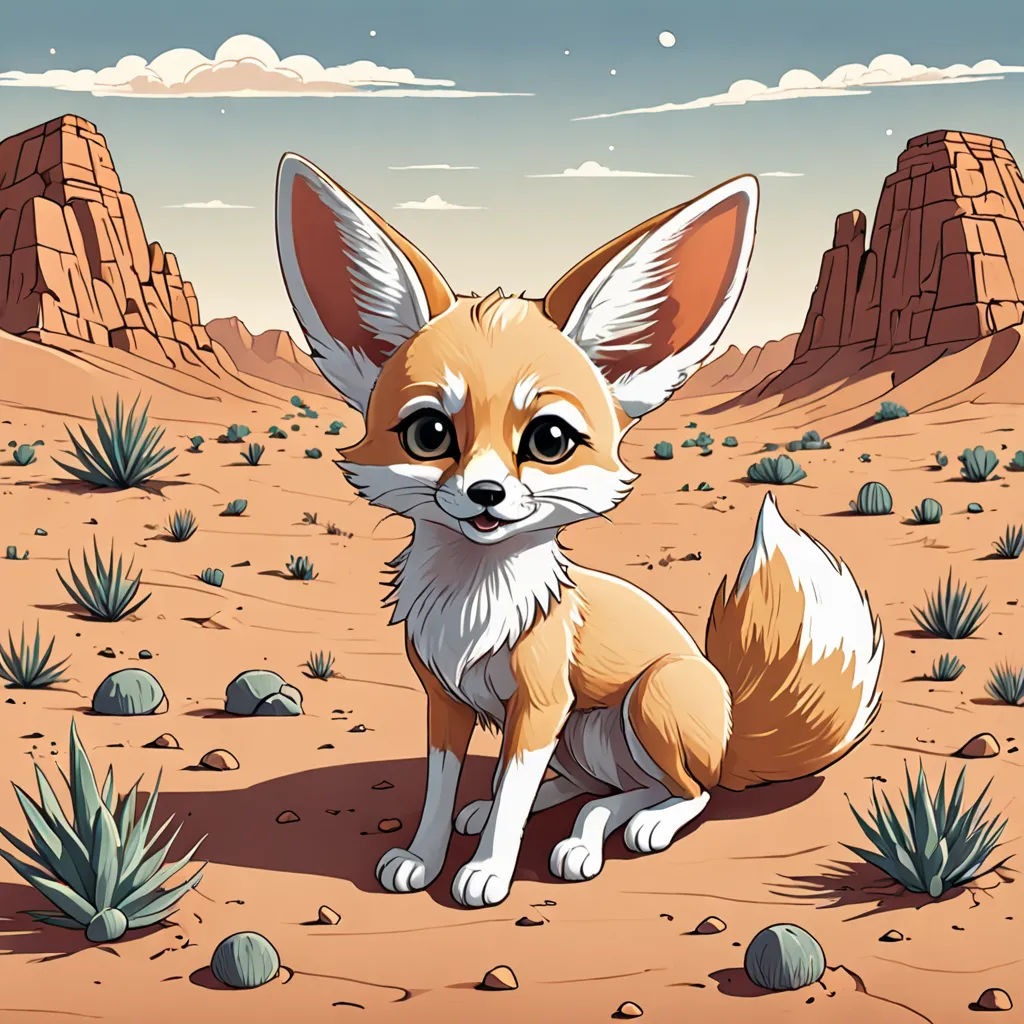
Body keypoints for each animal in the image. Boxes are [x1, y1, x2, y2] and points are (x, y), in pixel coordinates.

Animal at [274, 154, 884, 909]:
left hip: (648, 702)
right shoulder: (444, 701)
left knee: (686, 793)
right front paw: (425, 855)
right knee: (594, 788)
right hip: (582, 736)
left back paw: (617, 832)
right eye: (429, 434)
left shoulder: (541, 703)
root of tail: (732, 733)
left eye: (550, 440)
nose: (485, 494)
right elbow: (445, 793)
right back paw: (552, 813)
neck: (475, 606)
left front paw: (488, 871)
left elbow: (512, 797)